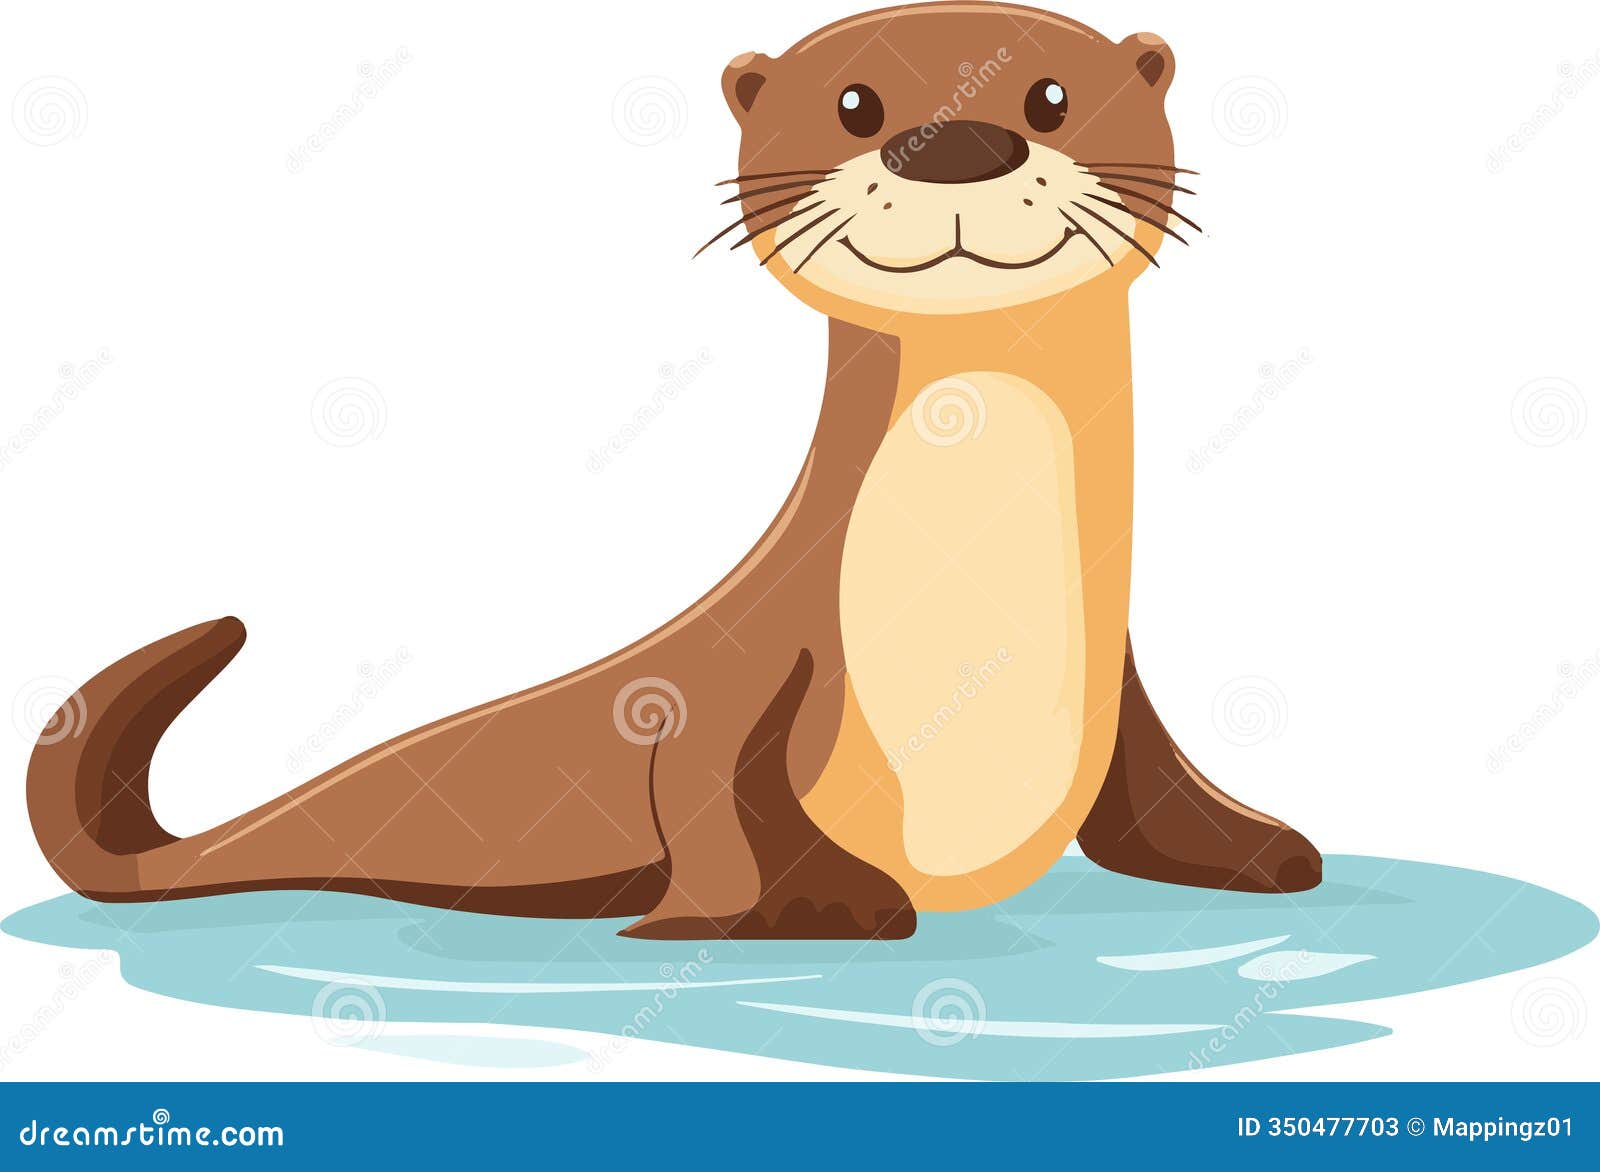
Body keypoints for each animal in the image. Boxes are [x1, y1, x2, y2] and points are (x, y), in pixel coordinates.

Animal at [25, 2, 1320, 940]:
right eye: (855, 103)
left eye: (1049, 94)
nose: (952, 141)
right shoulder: (763, 659)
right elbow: (704, 782)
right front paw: (797, 907)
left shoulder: (1118, 673)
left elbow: (1159, 780)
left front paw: (1260, 848)